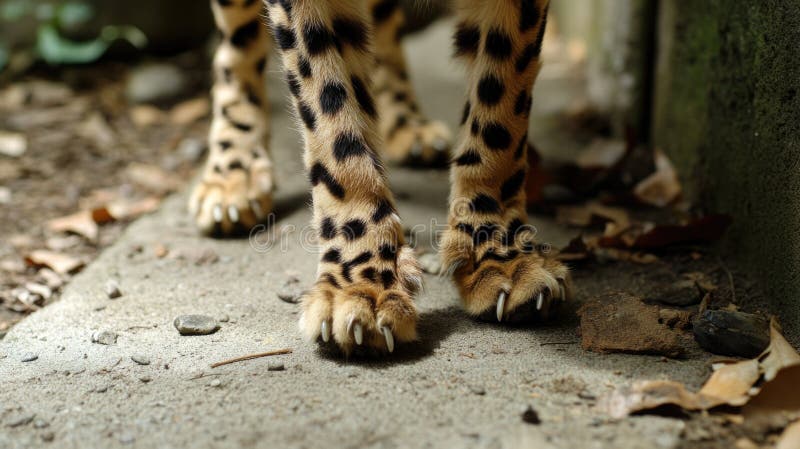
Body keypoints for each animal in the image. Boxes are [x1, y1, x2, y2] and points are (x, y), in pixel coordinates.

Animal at [188, 0, 571, 356]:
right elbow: (335, 123)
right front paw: (361, 284)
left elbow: (501, 110)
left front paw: (500, 254)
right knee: (235, 48)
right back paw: (233, 175)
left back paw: (406, 124)